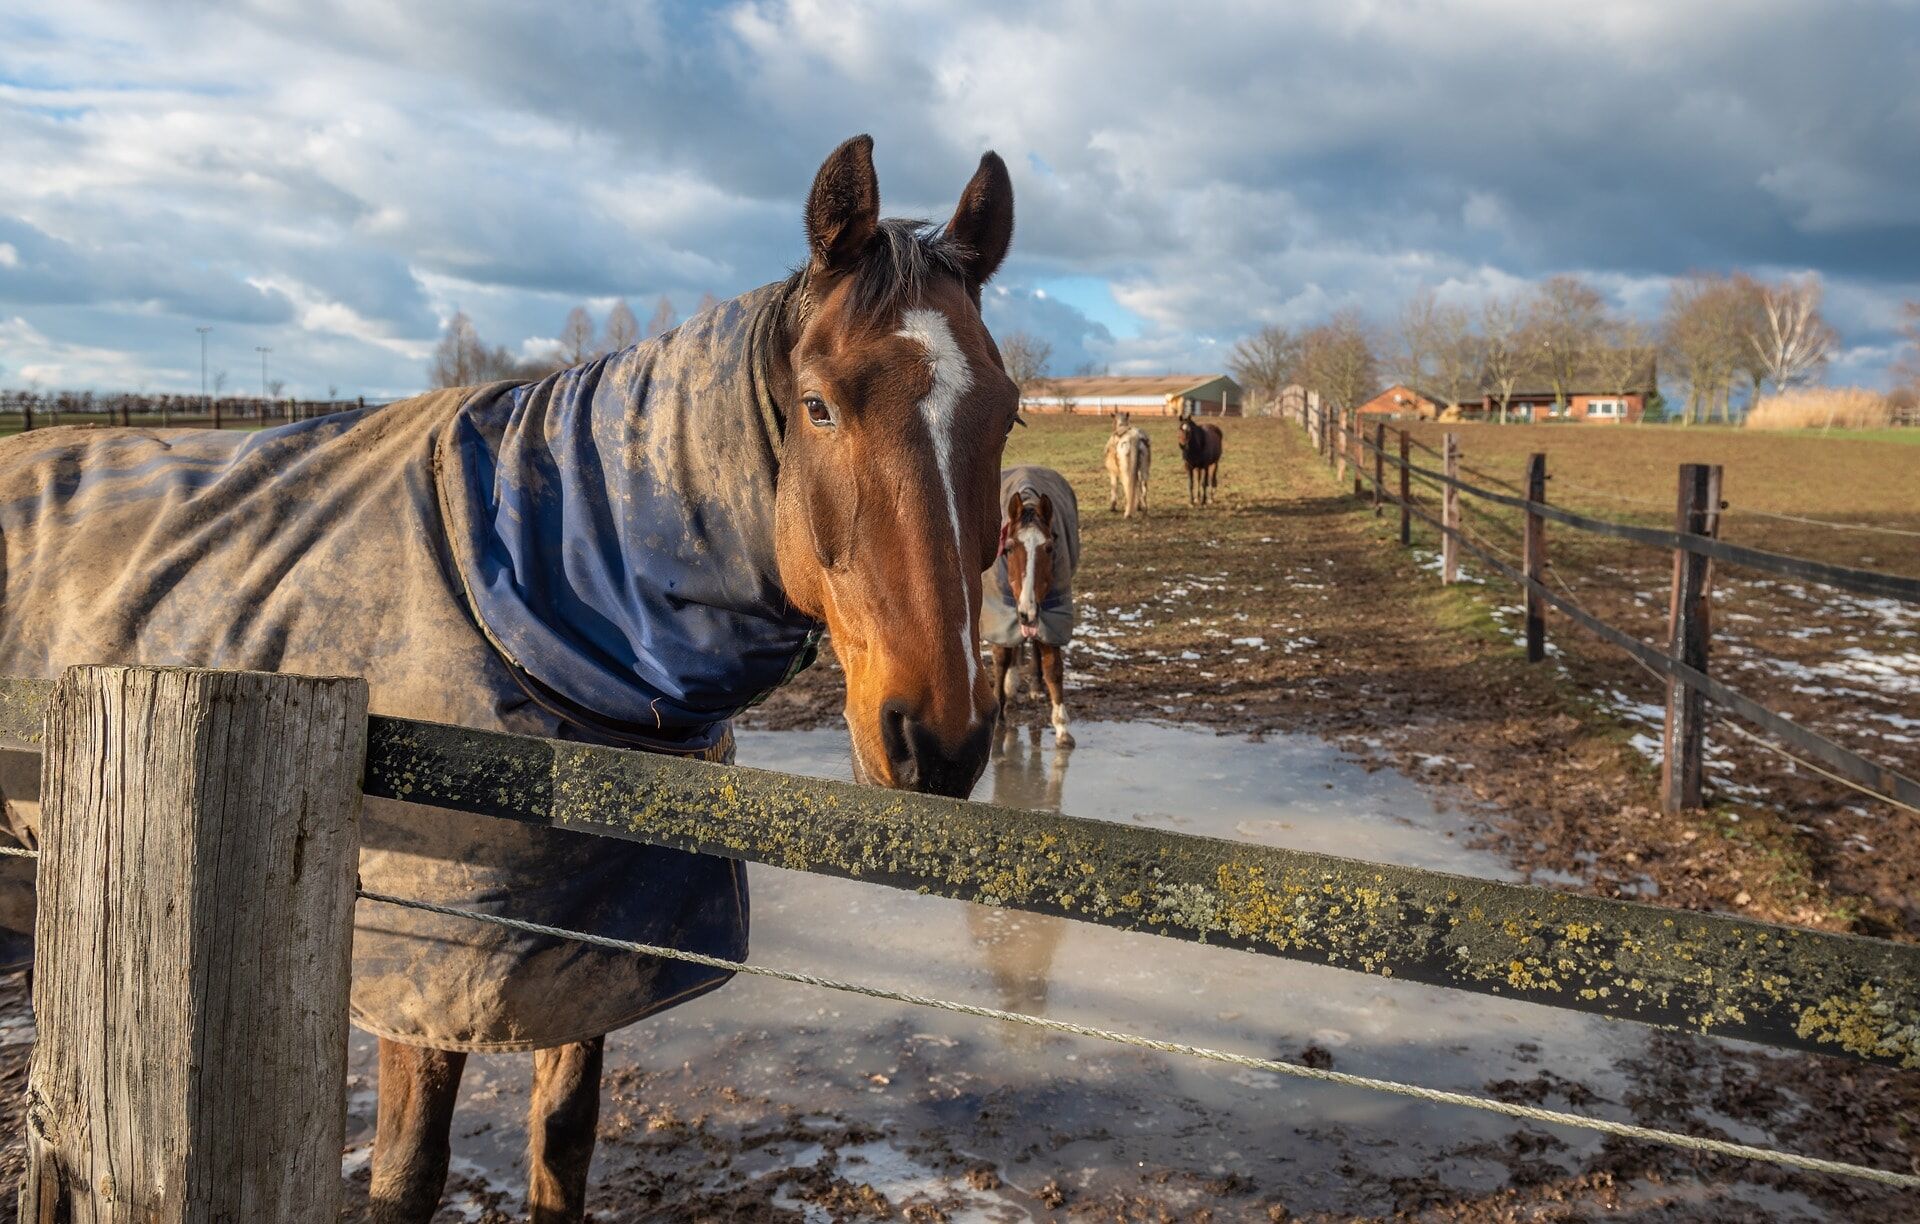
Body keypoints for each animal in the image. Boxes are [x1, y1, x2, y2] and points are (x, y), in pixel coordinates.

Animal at [0, 134, 1017, 1223]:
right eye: (820, 405)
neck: (538, 596)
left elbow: (563, 1138)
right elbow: (406, 1176)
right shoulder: (427, 969)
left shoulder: (594, 952)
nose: (939, 737)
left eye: (1008, 414)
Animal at [981, 466, 1081, 748]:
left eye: (1048, 547)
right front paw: (1000, 712)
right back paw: (1011, 686)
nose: (1026, 612)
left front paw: (1061, 726)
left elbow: (1052, 666)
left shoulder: (1051, 611)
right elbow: (1001, 658)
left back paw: (1034, 687)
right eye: (1009, 547)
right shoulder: (1001, 610)